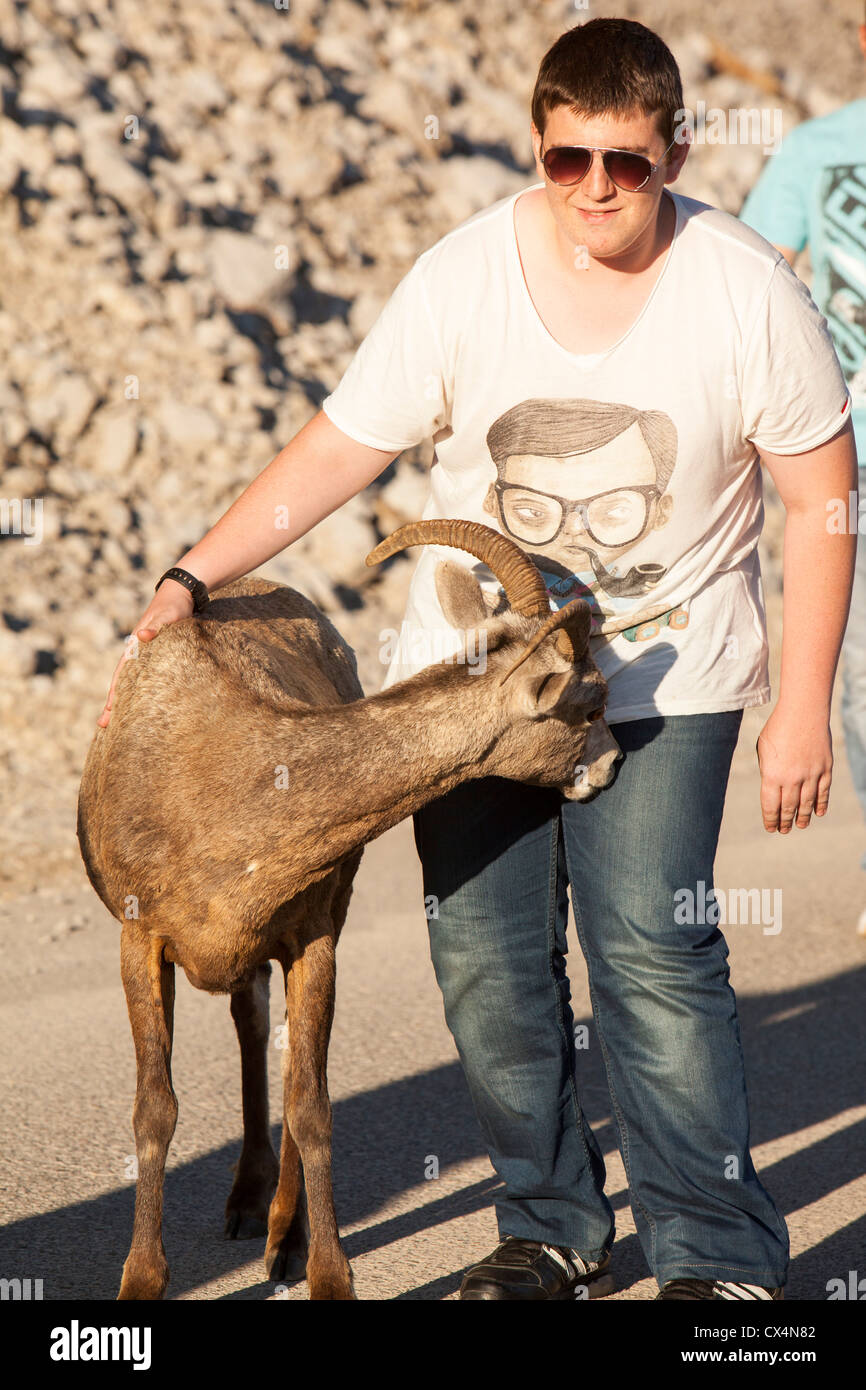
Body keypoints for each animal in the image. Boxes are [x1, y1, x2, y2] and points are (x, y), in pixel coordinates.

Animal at [76, 519, 620, 1300]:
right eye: (592, 702)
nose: (612, 767)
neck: (220, 790)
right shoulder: (140, 941)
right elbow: (156, 1108)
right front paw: (142, 1281)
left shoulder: (315, 940)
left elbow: (311, 1105)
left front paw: (326, 1275)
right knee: (250, 1033)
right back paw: (246, 1207)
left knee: (271, 1055)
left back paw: (277, 1233)